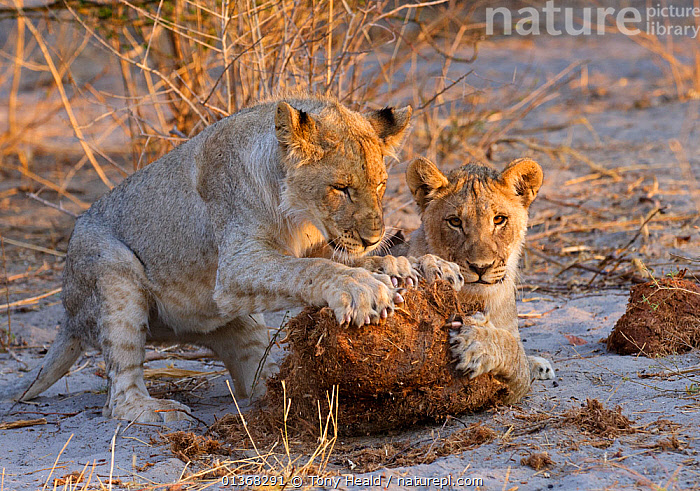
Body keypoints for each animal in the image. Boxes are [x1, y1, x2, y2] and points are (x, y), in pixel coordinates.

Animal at [2, 96, 462, 422]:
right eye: (341, 188)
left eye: (382, 185)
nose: (373, 237)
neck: (297, 213)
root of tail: (66, 316)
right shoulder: (236, 264)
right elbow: (311, 268)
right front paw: (362, 287)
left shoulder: (312, 243)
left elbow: (338, 260)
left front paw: (415, 265)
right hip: (111, 269)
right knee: (118, 392)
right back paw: (156, 411)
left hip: (236, 327)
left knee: (254, 373)